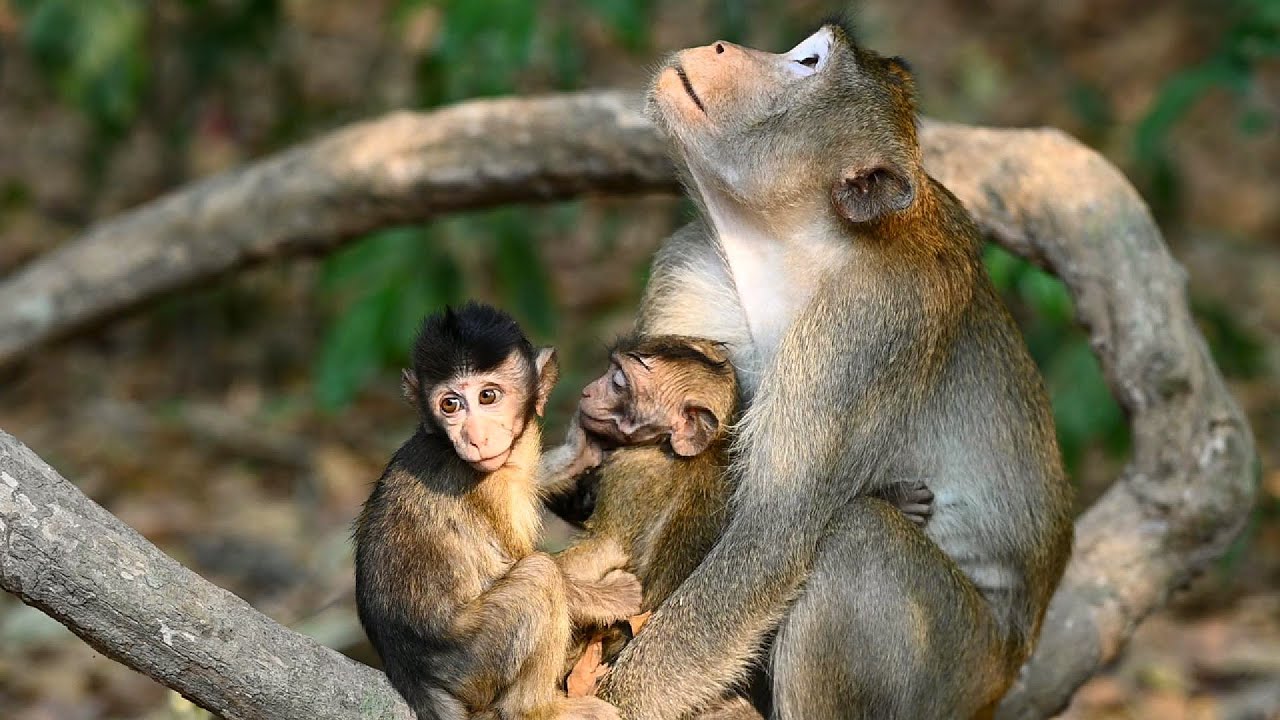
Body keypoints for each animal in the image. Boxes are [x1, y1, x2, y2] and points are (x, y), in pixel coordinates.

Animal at [352, 302, 641, 720]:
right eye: (450, 404)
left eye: (488, 396)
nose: (476, 437)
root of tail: (409, 670)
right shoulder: (489, 488)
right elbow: (532, 564)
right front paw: (611, 596)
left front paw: (579, 452)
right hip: (473, 660)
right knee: (540, 576)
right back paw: (540, 709)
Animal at [586, 21, 1075, 720]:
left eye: (808, 62)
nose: (721, 47)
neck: (796, 248)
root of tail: (1009, 665)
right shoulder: (689, 269)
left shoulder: (862, 326)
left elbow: (775, 531)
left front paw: (607, 699)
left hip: (958, 663)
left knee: (856, 540)